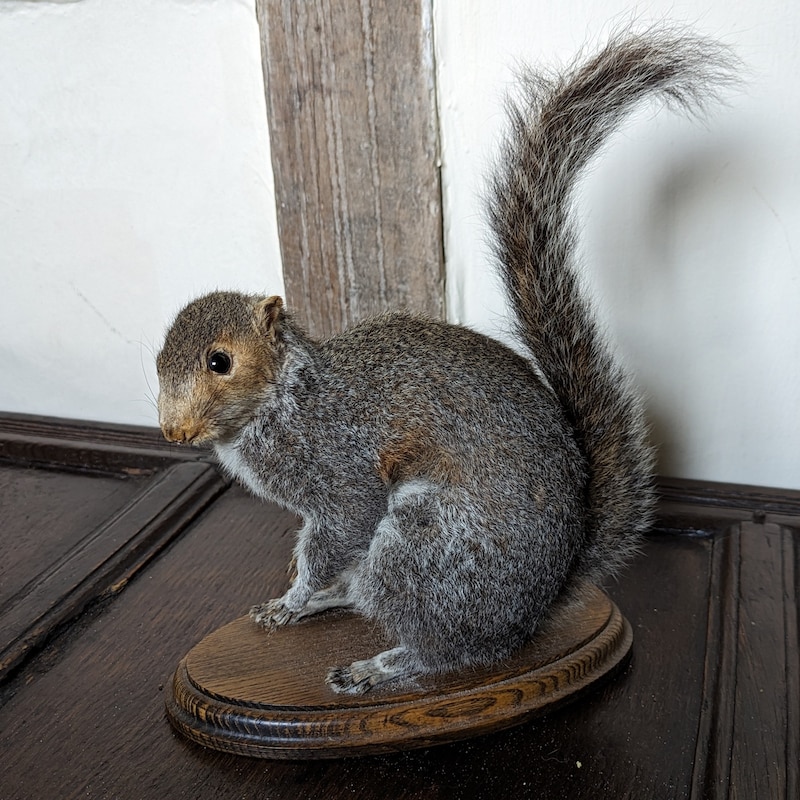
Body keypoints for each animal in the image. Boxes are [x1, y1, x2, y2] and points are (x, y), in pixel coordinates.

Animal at [157, 30, 733, 694]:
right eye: (158, 358)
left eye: (220, 362)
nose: (173, 431)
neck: (285, 397)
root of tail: (534, 609)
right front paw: (295, 601)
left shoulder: (340, 468)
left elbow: (338, 530)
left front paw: (297, 597)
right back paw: (343, 605)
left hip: (422, 548)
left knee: (444, 649)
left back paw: (380, 665)